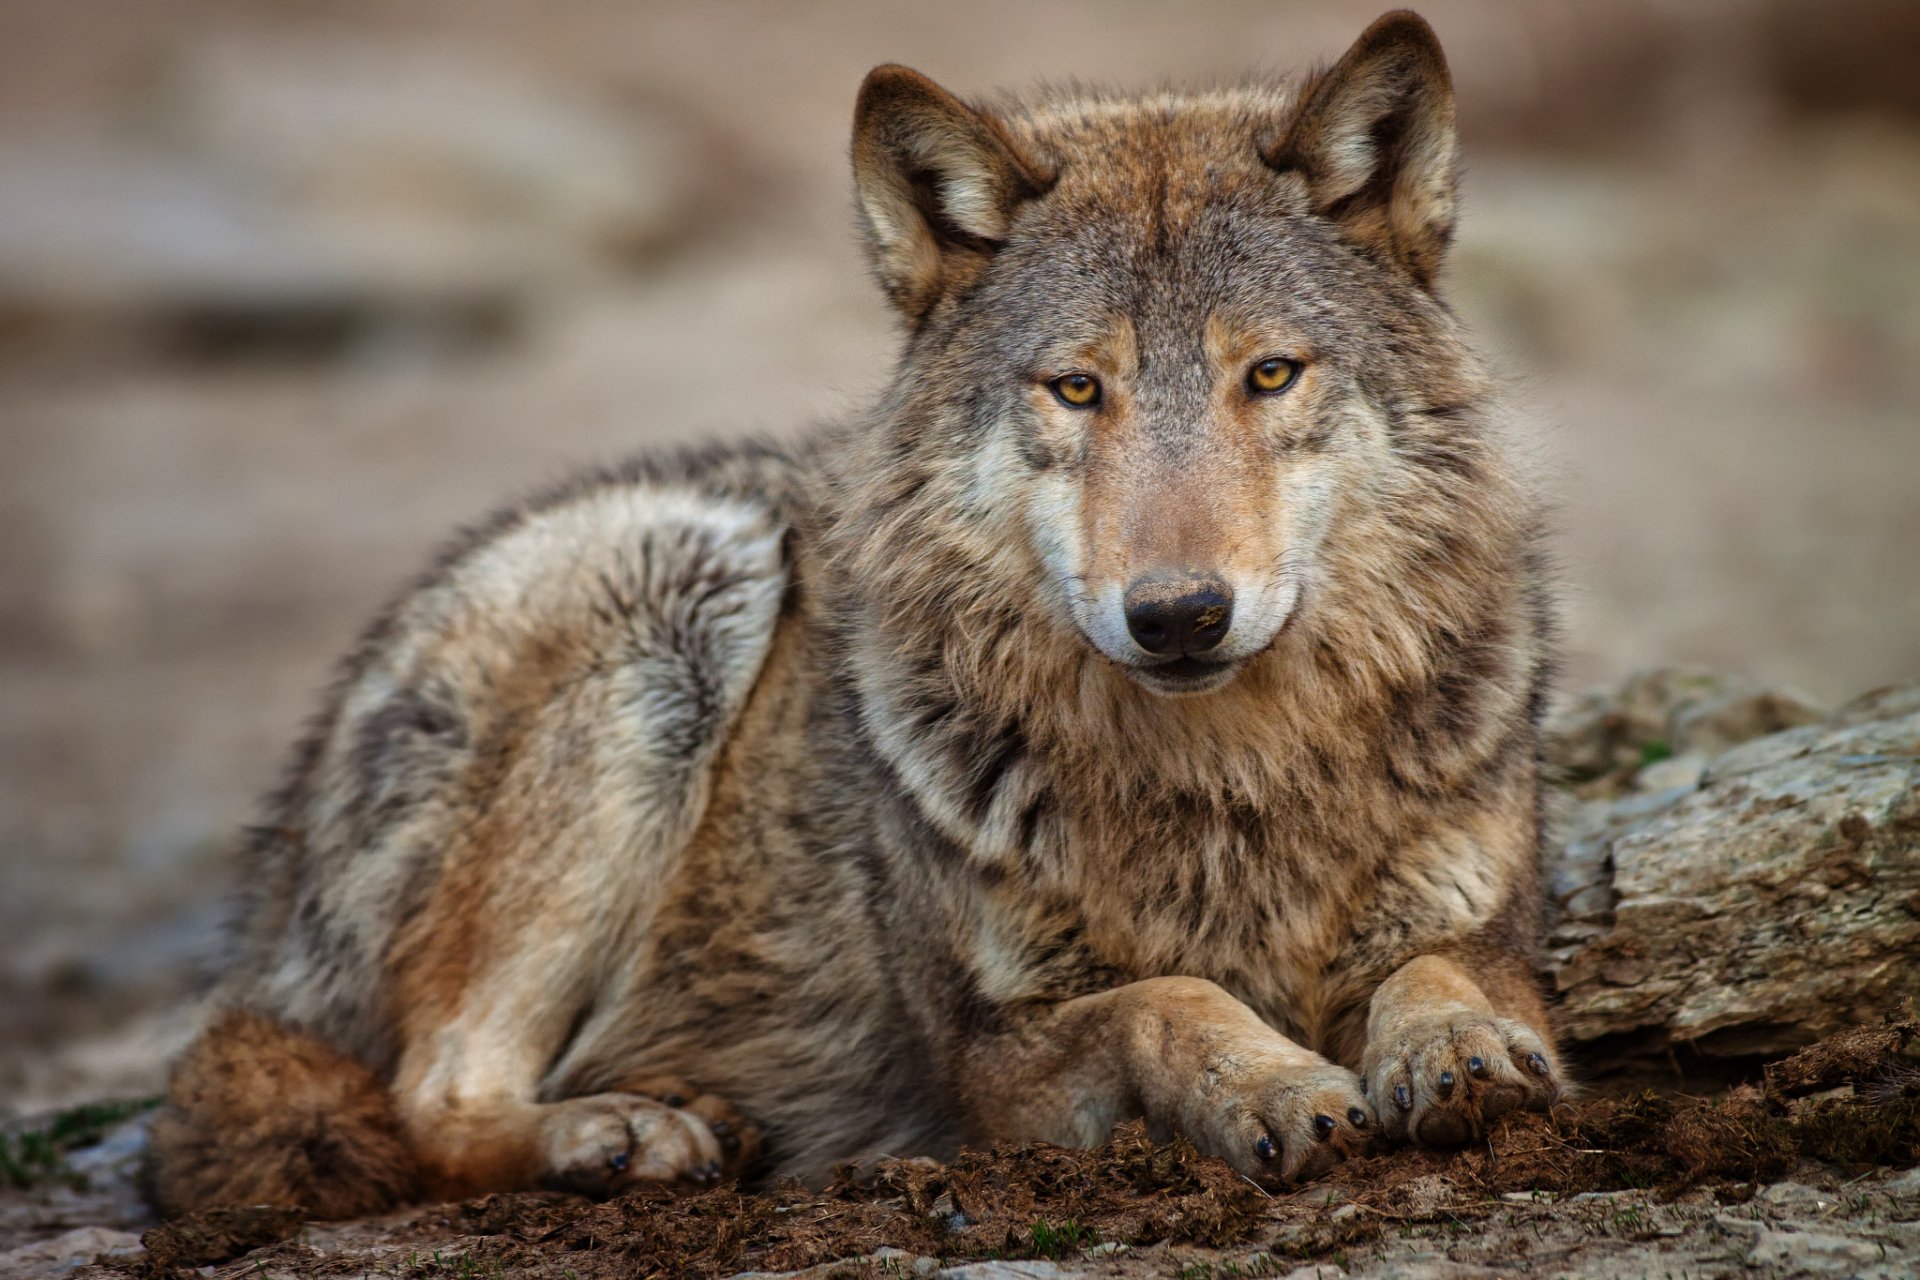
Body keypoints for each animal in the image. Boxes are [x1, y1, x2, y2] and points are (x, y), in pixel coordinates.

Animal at [148, 11, 1562, 1219]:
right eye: (1077, 388)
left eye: (1269, 374)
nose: (1178, 616)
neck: (1227, 785)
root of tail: (272, 880)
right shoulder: (995, 1061)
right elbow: (1171, 997)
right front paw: (1273, 1084)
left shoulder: (1487, 928)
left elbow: (1442, 971)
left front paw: (1464, 1051)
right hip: (682, 587)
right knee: (426, 1097)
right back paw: (628, 1133)